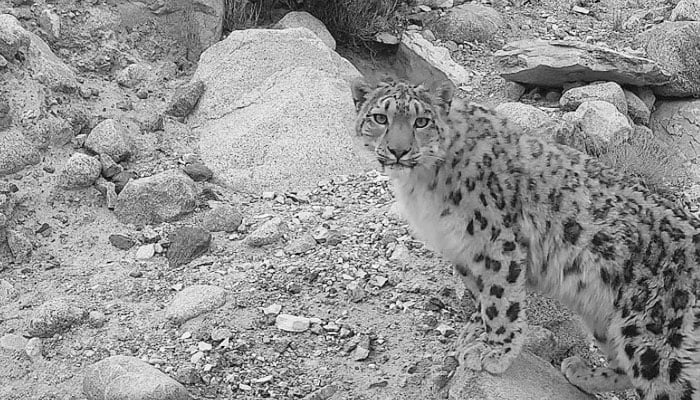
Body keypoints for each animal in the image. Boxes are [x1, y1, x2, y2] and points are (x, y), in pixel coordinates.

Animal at [350, 77, 700, 400]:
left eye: (421, 121)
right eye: (379, 118)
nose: (398, 150)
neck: (422, 185)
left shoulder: (496, 241)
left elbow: (499, 299)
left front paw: (493, 351)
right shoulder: (461, 249)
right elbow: (479, 295)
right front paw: (475, 334)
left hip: (656, 340)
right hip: (608, 322)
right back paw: (583, 372)